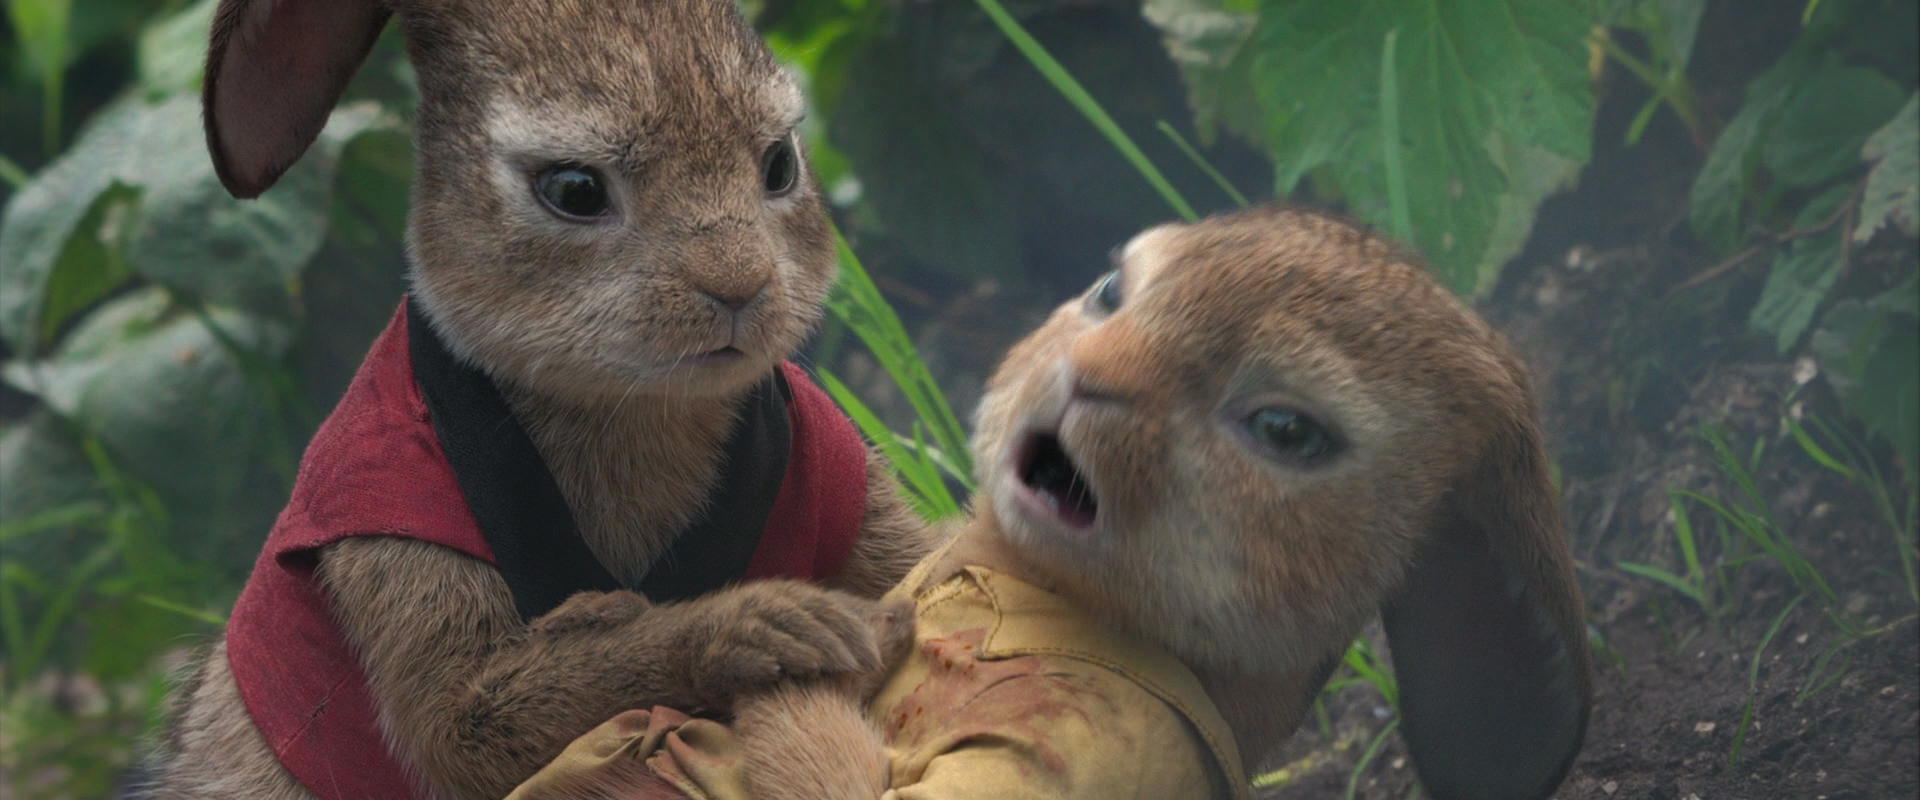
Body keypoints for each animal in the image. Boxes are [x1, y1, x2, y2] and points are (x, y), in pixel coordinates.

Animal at [147, 1, 940, 799]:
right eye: (574, 190)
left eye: (779, 163)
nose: (739, 285)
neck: (630, 403)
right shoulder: (391, 517)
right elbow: (469, 724)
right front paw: (796, 623)